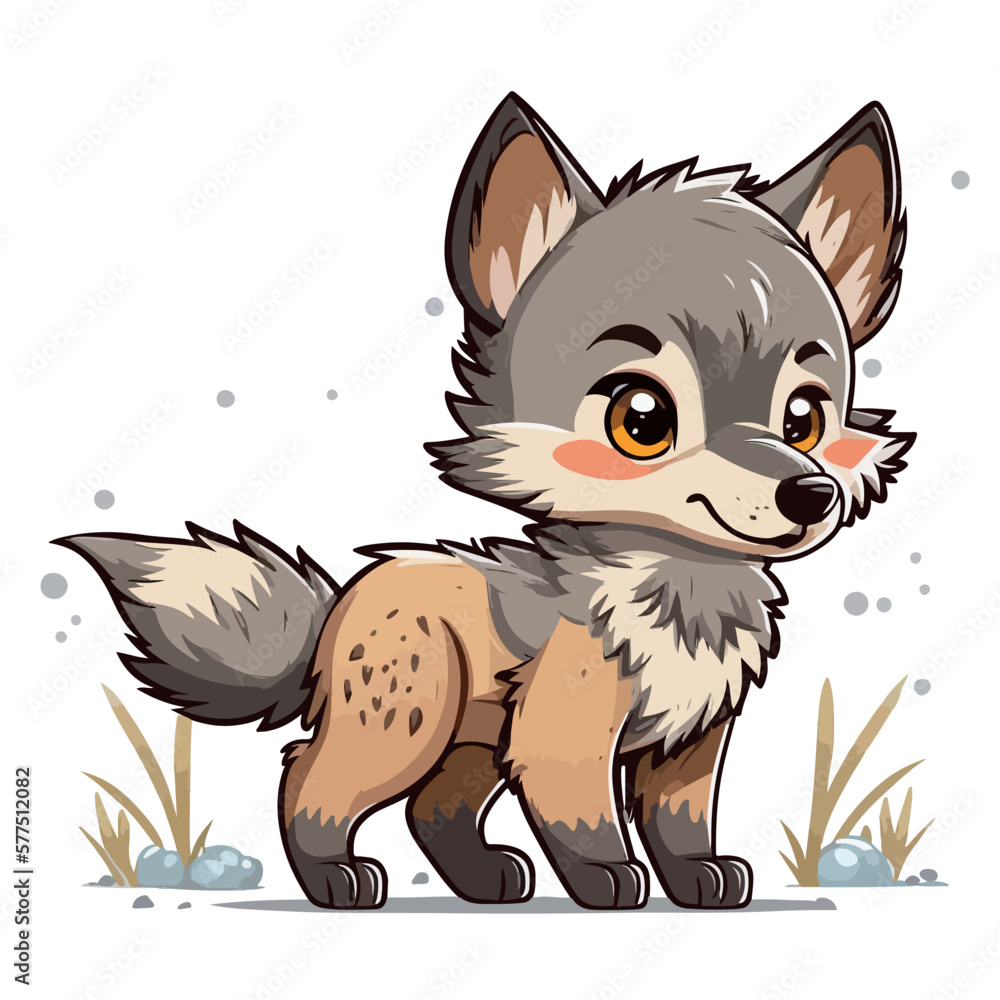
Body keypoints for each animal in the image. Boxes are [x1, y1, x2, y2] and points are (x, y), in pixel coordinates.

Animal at [57, 93, 912, 910]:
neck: (681, 591)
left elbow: (682, 824)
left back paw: (485, 879)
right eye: (642, 419)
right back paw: (336, 879)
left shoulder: (688, 742)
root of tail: (342, 604)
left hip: (468, 744)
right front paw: (608, 879)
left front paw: (701, 881)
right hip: (406, 726)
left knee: (432, 809)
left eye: (803, 420)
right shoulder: (563, 730)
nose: (807, 493)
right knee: (310, 774)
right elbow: (586, 816)